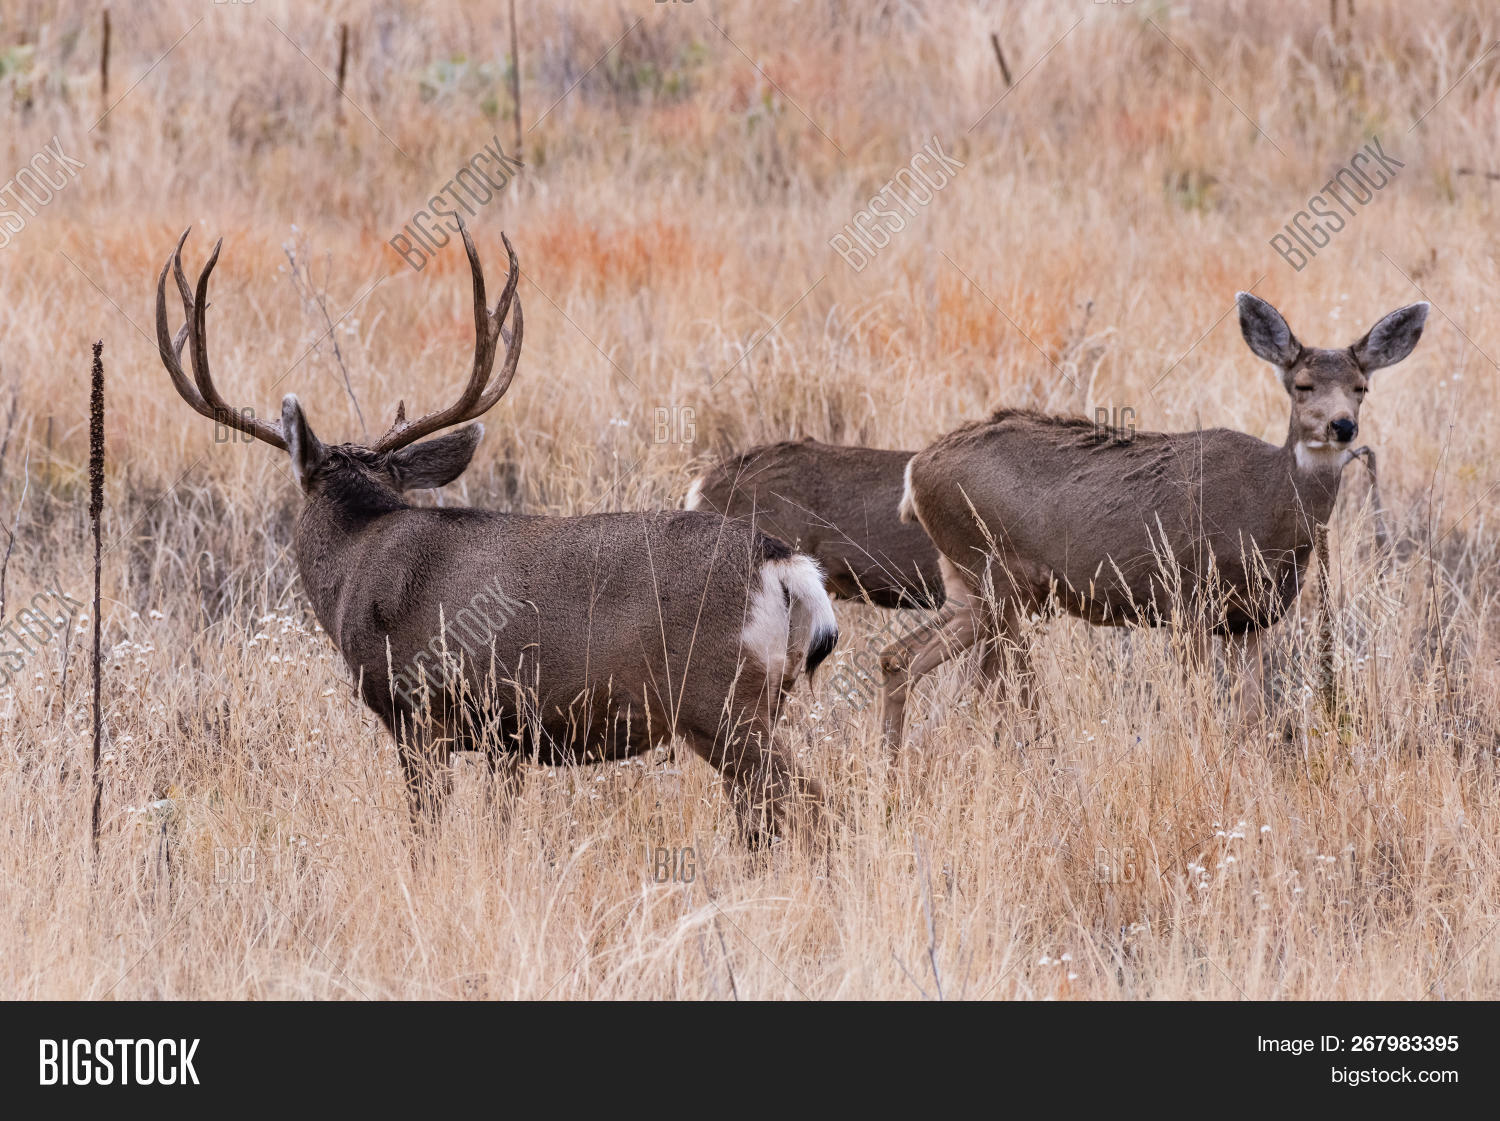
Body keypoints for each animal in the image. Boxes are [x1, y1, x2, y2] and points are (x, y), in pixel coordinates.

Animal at [154, 222, 838, 845]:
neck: (356, 560)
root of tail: (780, 563)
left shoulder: (418, 710)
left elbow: (426, 827)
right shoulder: (506, 738)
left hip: (721, 701)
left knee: (811, 806)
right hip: (759, 705)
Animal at [878, 293, 1429, 751]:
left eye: (1361, 387)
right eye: (1303, 385)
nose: (1343, 426)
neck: (1263, 510)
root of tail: (916, 469)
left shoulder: (1255, 616)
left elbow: (1252, 719)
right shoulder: (1187, 600)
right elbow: (1201, 710)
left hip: (969, 586)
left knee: (899, 657)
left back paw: (893, 768)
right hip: (995, 575)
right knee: (1003, 688)